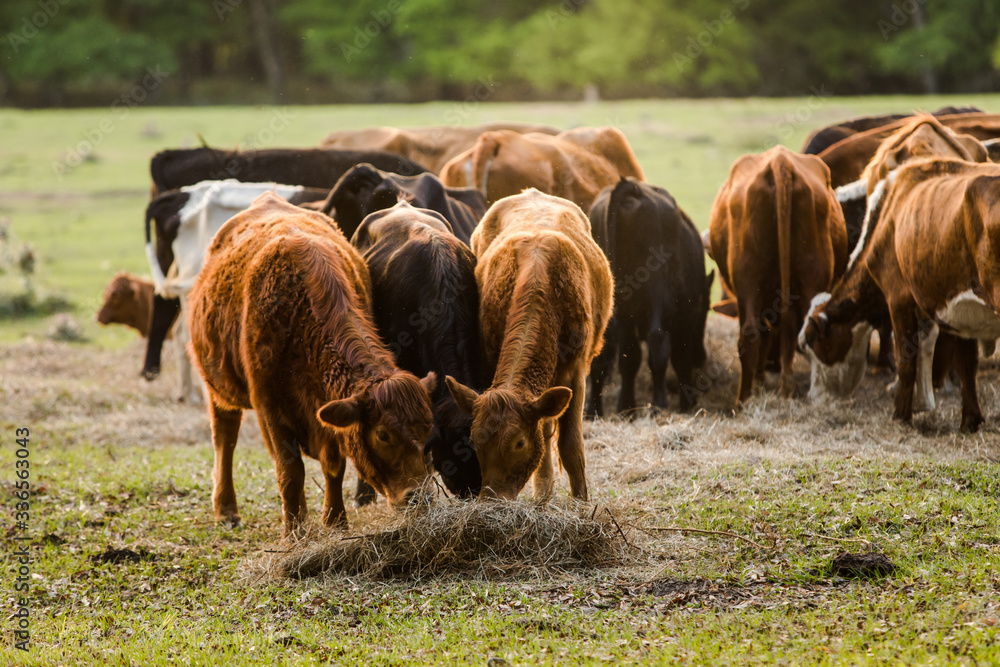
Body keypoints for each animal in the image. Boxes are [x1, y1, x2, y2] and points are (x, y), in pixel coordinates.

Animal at [187, 192, 436, 537]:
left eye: (428, 429)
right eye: (383, 435)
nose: (420, 497)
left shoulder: (325, 411)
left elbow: (333, 465)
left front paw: (334, 520)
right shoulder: (270, 406)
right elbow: (289, 469)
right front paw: (293, 531)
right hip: (219, 389)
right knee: (225, 439)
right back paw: (226, 509)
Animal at [445, 189, 613, 501]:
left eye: (519, 443)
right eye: (474, 440)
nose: (491, 500)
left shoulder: (576, 372)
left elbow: (571, 445)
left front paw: (582, 501)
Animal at [586, 178, 713, 416]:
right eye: (706, 310)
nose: (702, 357)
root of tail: (630, 187)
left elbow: (629, 358)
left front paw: (626, 408)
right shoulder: (684, 321)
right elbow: (680, 358)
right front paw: (686, 403)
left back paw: (594, 410)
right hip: (656, 291)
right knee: (657, 341)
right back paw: (659, 405)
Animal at [799, 158, 1000, 433]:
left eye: (812, 344)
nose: (813, 397)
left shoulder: (899, 299)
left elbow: (906, 361)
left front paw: (901, 415)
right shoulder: (962, 313)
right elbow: (966, 364)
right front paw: (969, 420)